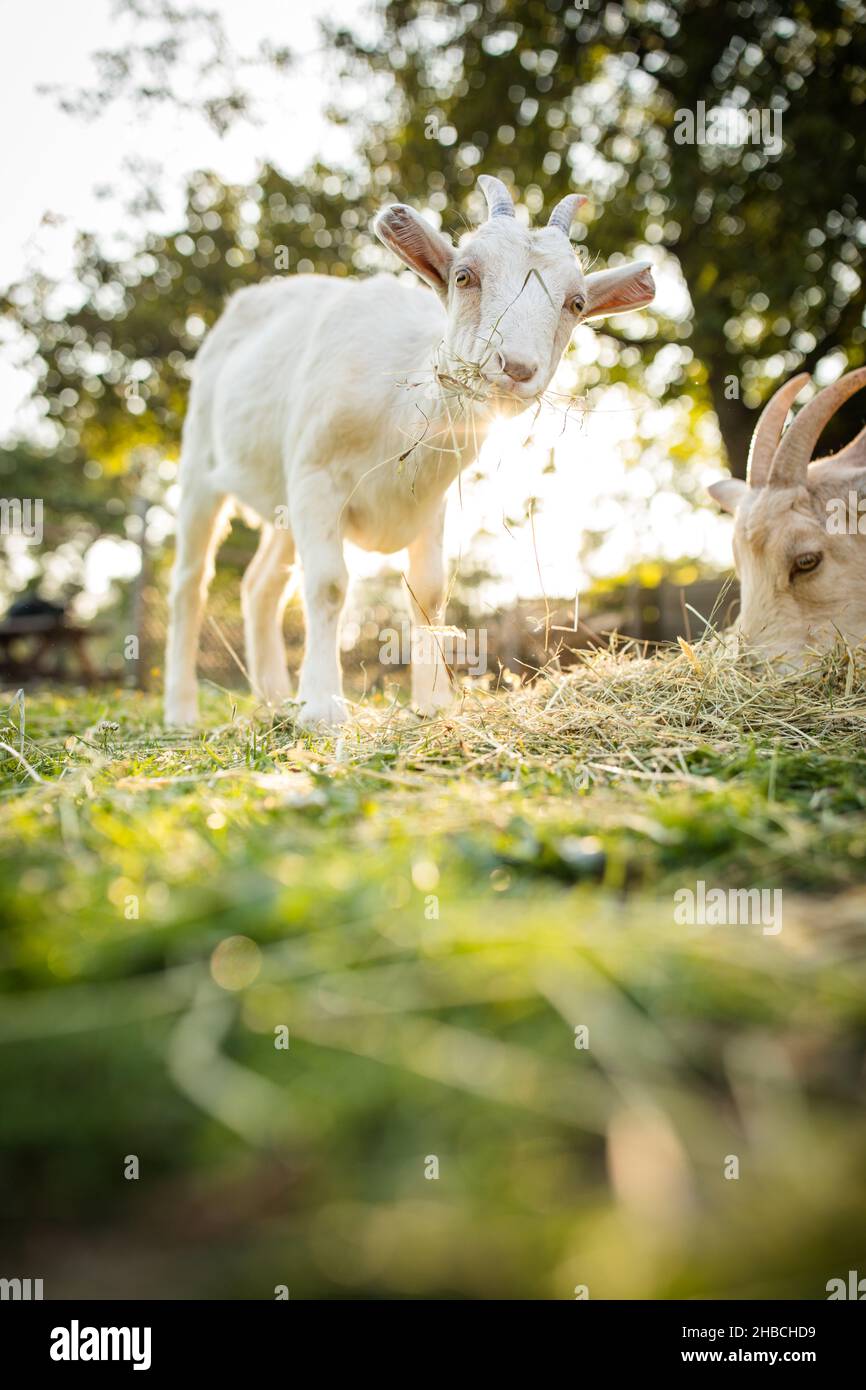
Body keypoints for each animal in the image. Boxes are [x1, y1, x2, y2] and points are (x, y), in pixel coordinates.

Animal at [164, 175, 655, 727]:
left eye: (576, 303)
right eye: (464, 276)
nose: (516, 367)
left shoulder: (429, 501)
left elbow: (429, 592)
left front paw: (434, 703)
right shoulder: (317, 477)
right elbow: (329, 584)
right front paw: (324, 708)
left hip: (281, 499)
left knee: (259, 585)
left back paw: (273, 699)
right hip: (200, 464)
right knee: (190, 582)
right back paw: (182, 710)